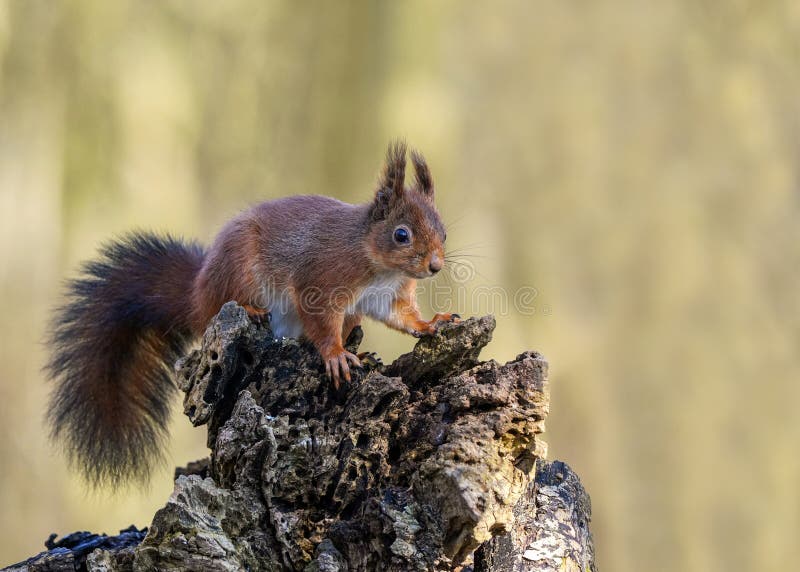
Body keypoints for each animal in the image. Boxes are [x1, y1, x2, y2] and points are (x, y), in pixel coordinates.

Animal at [46, 140, 458, 487]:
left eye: (443, 232)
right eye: (401, 234)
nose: (435, 266)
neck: (375, 261)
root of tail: (198, 293)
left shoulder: (389, 297)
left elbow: (403, 317)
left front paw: (430, 324)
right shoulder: (319, 283)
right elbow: (322, 323)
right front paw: (336, 355)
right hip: (237, 272)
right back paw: (252, 309)